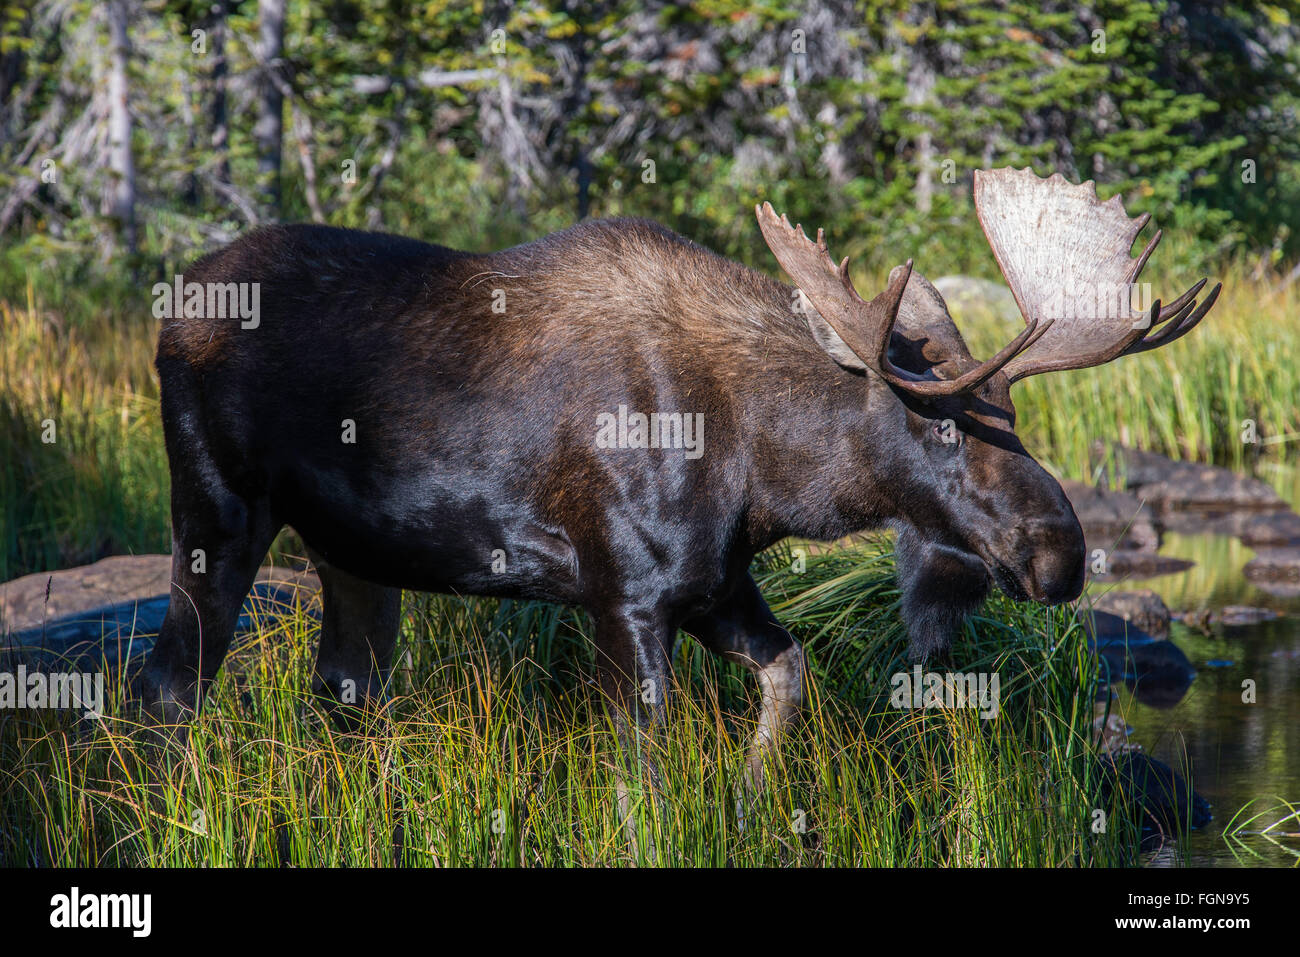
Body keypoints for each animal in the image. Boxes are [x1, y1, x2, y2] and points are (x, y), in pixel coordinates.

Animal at [132, 166, 1218, 801]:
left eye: (1018, 421)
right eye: (940, 425)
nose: (1061, 554)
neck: (768, 474)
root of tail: (170, 305)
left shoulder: (715, 583)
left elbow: (787, 679)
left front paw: (751, 809)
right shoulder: (624, 593)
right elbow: (640, 779)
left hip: (354, 557)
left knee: (341, 692)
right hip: (217, 513)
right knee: (168, 686)